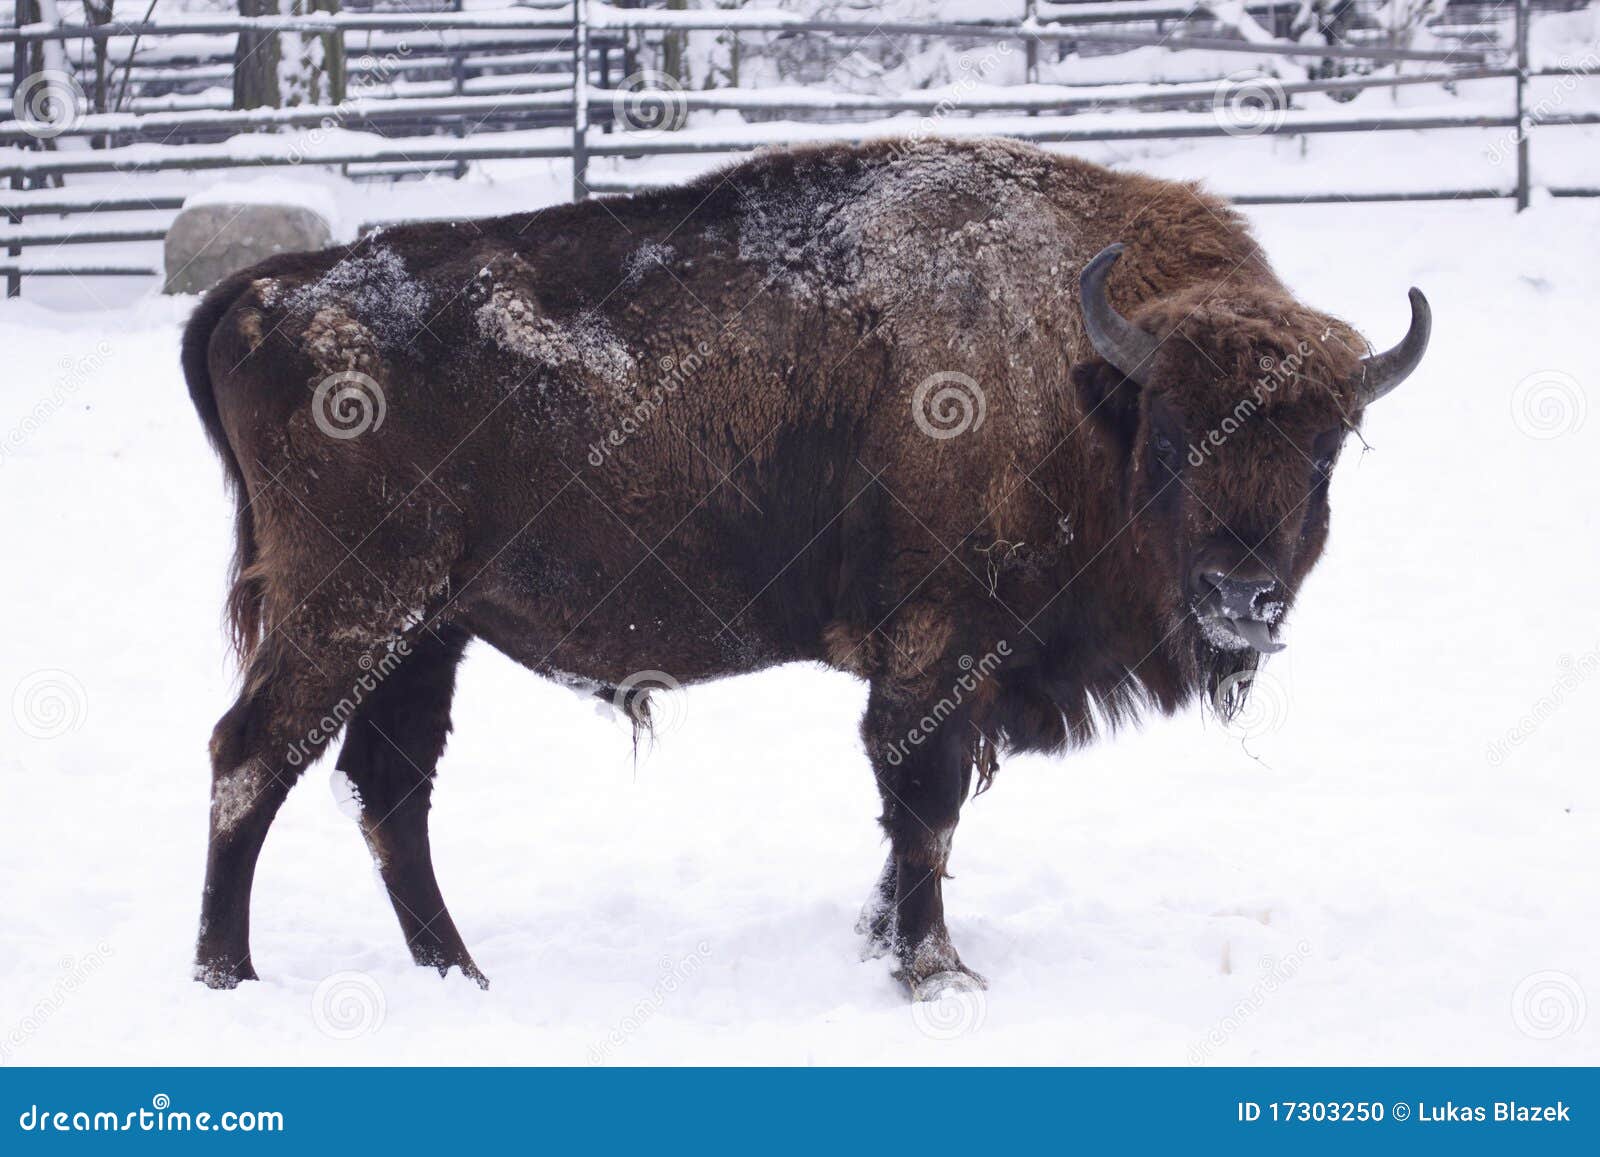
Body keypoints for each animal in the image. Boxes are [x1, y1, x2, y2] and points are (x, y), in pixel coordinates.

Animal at [183, 137, 1428, 999]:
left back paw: (462, 973)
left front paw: (882, 943)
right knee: (253, 756)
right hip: (354, 606)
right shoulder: (938, 650)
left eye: (1324, 452)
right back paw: (229, 976)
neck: (1077, 377)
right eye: (1170, 440)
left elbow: (909, 815)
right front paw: (935, 972)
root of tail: (263, 291)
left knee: (387, 785)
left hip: (425, 629)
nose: (1239, 599)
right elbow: (924, 802)